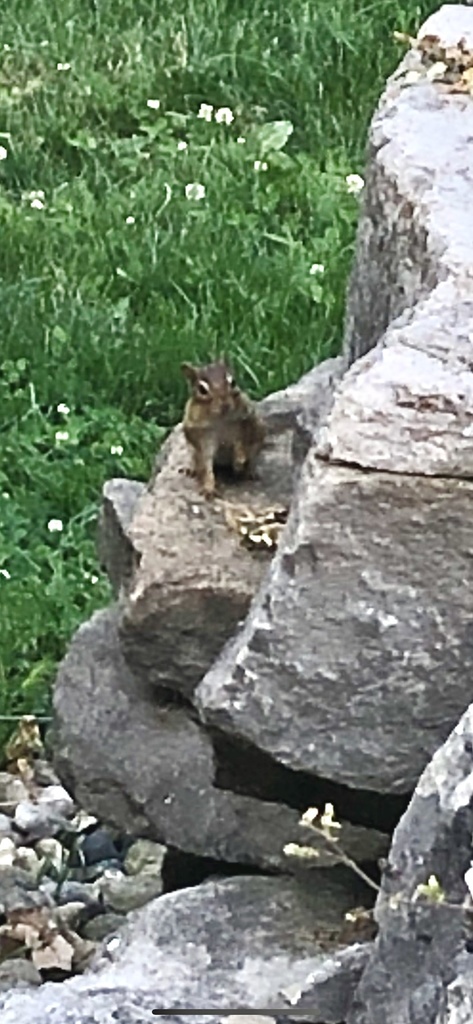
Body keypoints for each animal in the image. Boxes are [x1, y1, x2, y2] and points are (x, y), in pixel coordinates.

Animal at [181, 358, 266, 499]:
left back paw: (249, 471)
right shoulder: (204, 437)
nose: (225, 404)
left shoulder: (245, 421)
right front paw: (209, 488)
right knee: (195, 459)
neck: (220, 420)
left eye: (233, 382)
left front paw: (239, 460)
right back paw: (191, 468)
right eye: (202, 389)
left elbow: (241, 444)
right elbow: (207, 465)